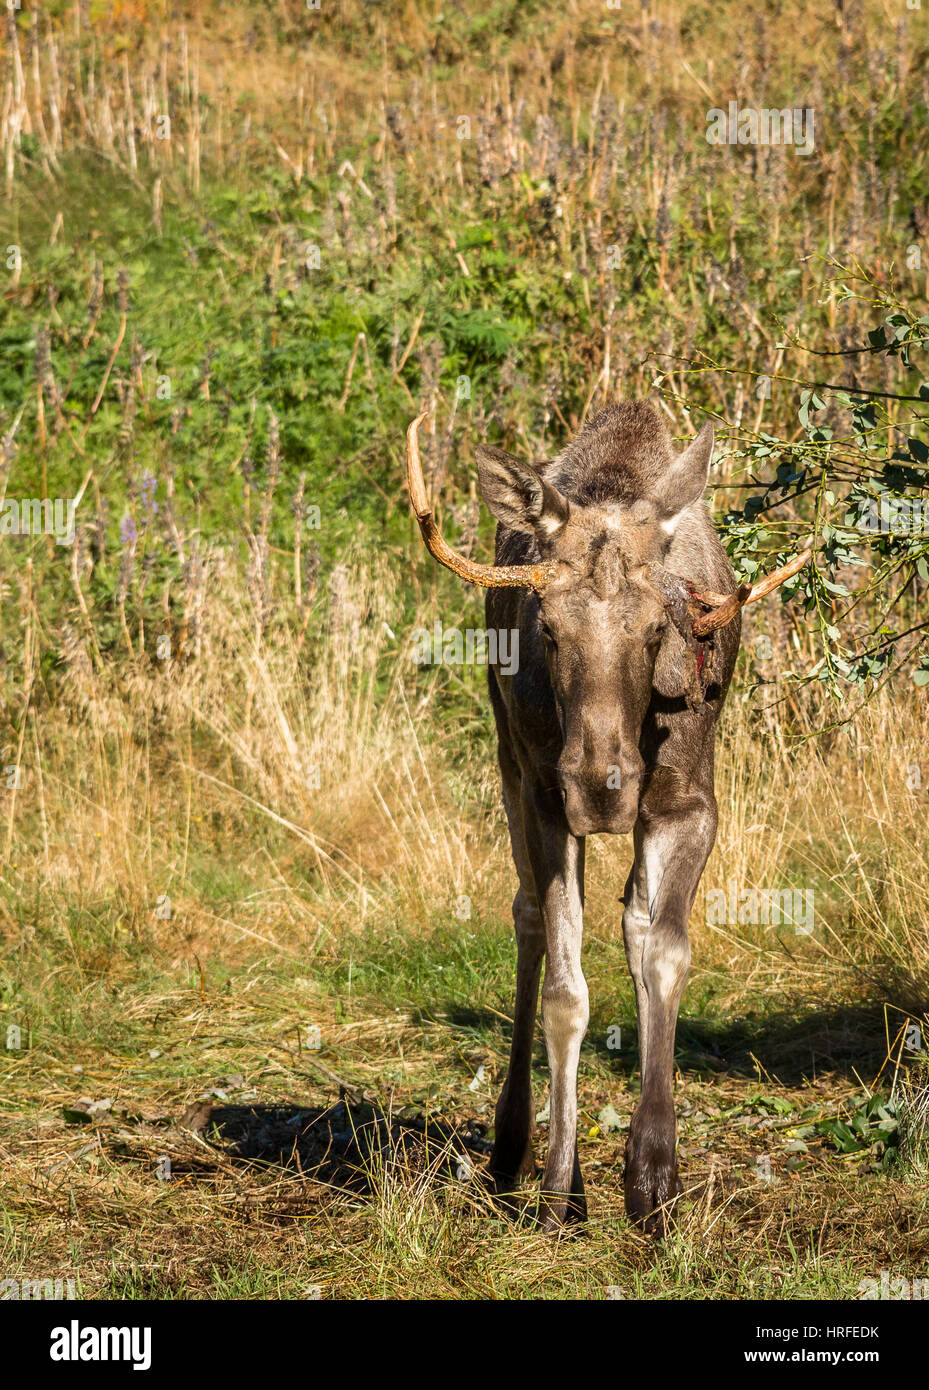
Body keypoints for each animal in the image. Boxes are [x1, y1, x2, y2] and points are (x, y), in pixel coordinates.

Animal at [405, 401, 811, 1234]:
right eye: (548, 628)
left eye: (657, 629)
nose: (601, 787)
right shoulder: (543, 797)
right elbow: (566, 992)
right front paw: (563, 1186)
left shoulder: (689, 804)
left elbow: (660, 950)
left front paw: (654, 1176)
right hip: (511, 771)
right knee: (528, 917)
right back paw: (511, 1148)